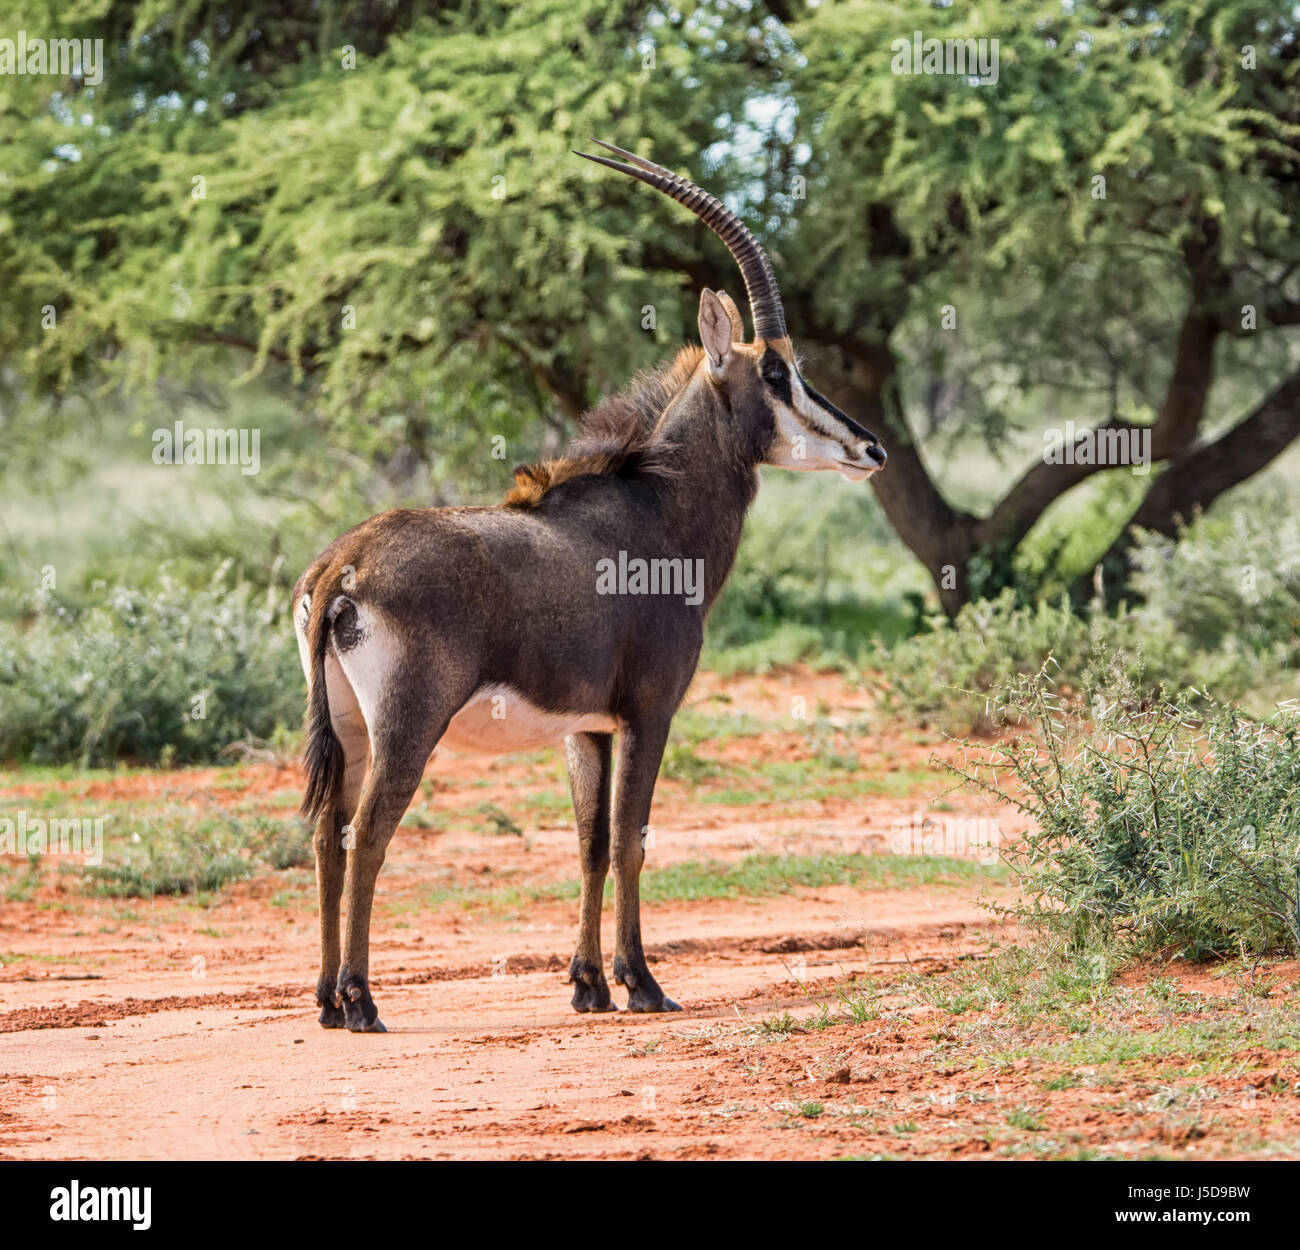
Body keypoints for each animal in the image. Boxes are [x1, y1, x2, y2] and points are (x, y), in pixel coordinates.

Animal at [294, 141, 886, 1032]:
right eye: (780, 372)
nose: (870, 448)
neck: (656, 512)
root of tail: (346, 563)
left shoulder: (587, 728)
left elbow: (590, 842)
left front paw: (588, 985)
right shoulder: (648, 710)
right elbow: (634, 836)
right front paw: (642, 983)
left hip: (351, 729)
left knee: (328, 834)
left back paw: (330, 1000)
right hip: (406, 726)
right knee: (366, 834)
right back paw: (363, 1001)